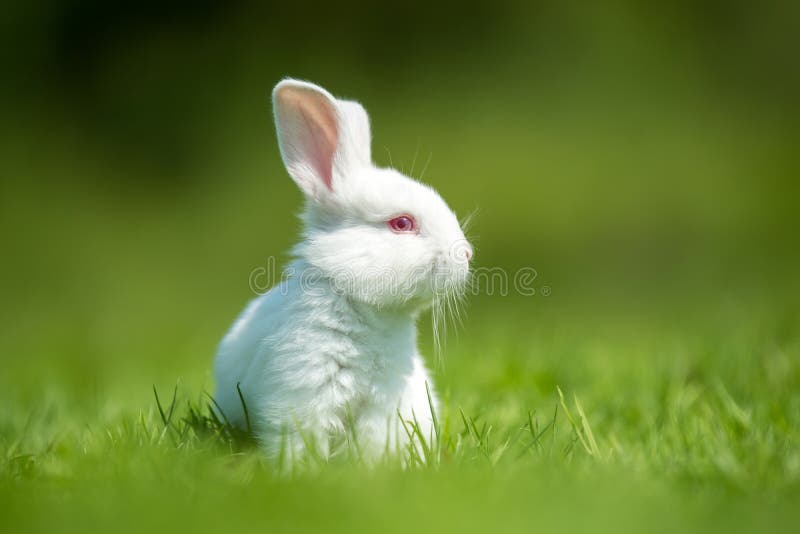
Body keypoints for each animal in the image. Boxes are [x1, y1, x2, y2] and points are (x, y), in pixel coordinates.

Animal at [213, 79, 473, 463]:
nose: (467, 254)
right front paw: (302, 470)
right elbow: (301, 440)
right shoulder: (304, 393)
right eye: (402, 223)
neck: (365, 308)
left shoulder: (382, 407)